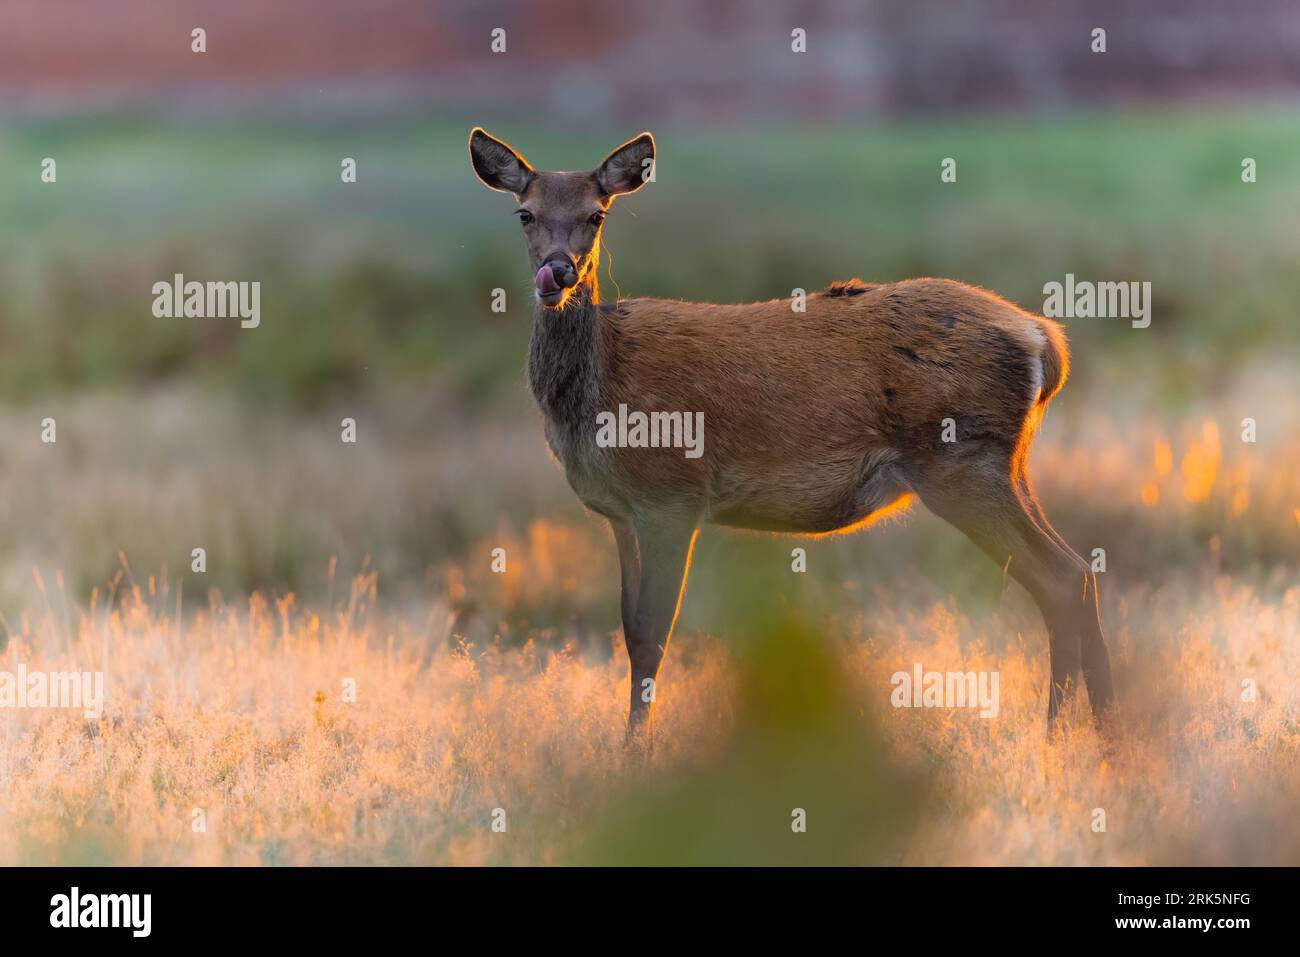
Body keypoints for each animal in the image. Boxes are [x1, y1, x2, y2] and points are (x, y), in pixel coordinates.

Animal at [468, 127, 1115, 743]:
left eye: (596, 214)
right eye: (524, 213)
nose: (557, 273)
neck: (599, 394)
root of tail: (1045, 342)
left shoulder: (672, 493)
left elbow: (654, 633)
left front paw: (635, 751)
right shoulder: (619, 513)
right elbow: (628, 630)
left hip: (961, 462)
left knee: (1059, 579)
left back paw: (1059, 739)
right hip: (1009, 465)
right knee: (1079, 573)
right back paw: (1104, 739)